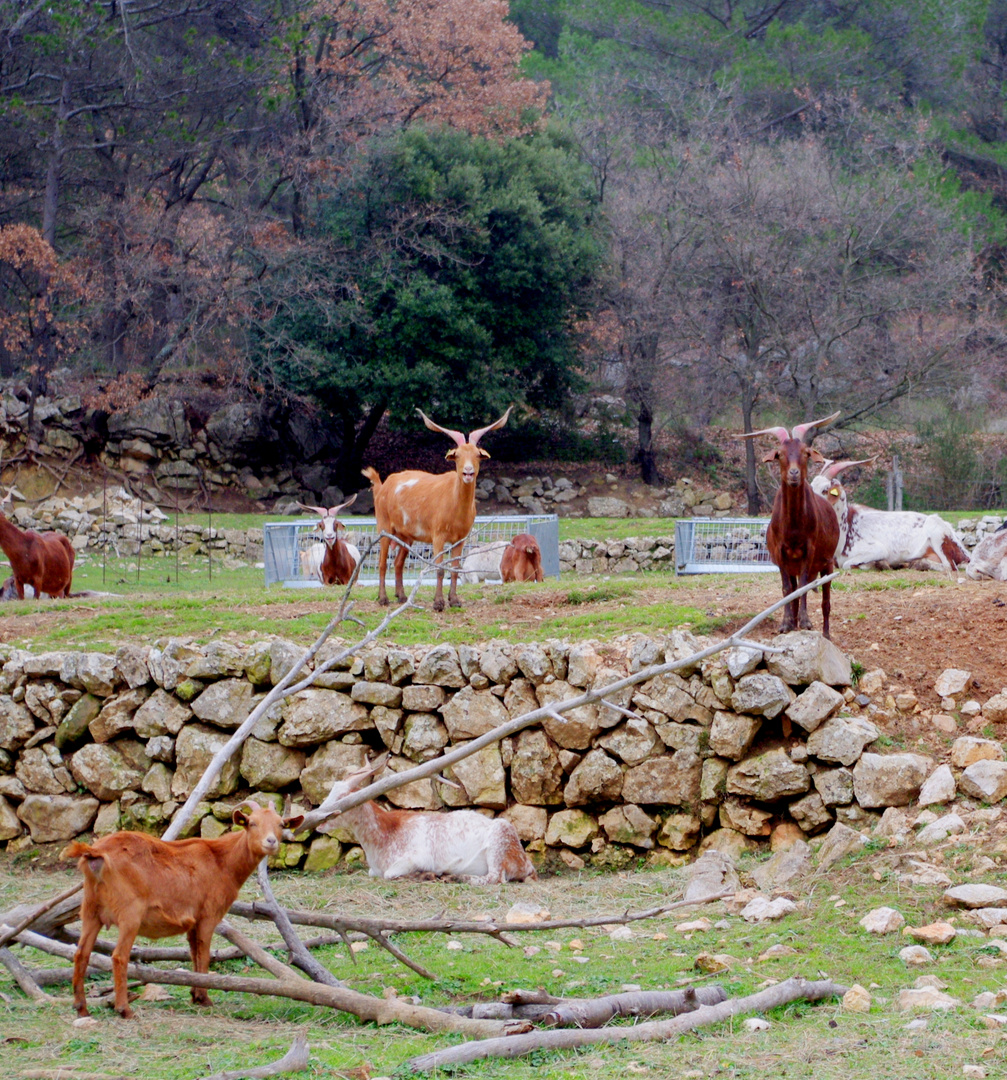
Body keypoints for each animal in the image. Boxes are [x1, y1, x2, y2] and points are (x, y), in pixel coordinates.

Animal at [59, 799, 298, 1015]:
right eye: (252, 823)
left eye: (280, 824)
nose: (271, 842)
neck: (221, 861)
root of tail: (96, 853)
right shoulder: (209, 915)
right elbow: (204, 953)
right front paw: (204, 998)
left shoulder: (192, 922)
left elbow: (193, 954)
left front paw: (195, 995)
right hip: (130, 914)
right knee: (118, 956)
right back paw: (124, 1009)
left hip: (90, 910)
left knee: (81, 953)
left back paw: (81, 1008)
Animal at [326, 760, 538, 885]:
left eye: (343, 799)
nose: (321, 819)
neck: (388, 833)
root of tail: (527, 863)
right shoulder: (374, 870)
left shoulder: (416, 858)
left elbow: (390, 874)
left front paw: (426, 874)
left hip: (499, 842)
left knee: (496, 878)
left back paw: (455, 877)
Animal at [360, 406, 512, 613]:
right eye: (457, 455)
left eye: (476, 455)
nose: (468, 472)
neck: (455, 505)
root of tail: (382, 486)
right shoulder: (438, 536)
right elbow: (439, 569)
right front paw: (438, 603)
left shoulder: (460, 539)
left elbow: (454, 569)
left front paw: (454, 600)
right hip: (384, 527)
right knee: (383, 563)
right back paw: (383, 598)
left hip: (406, 535)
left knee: (398, 563)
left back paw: (402, 596)